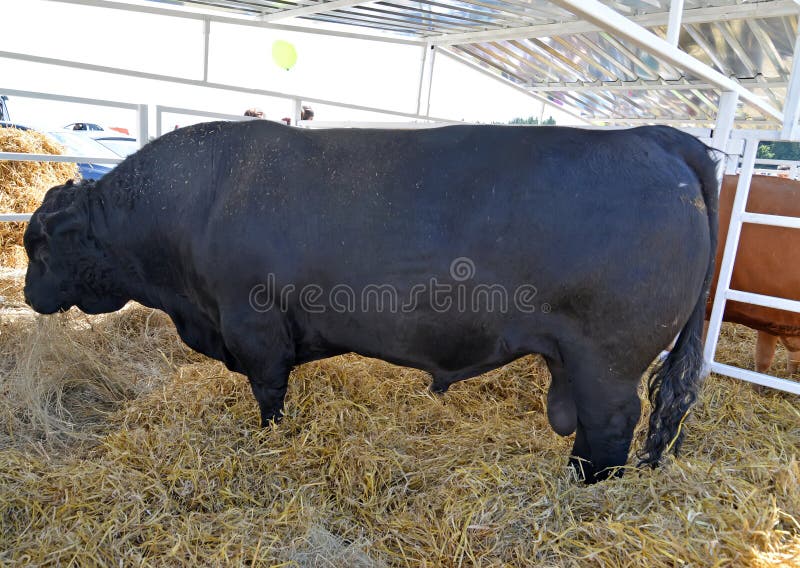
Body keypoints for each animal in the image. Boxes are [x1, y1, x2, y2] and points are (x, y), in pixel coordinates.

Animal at [23, 122, 718, 483]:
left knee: (612, 427)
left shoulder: (254, 326)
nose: (27, 295)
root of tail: (654, 136)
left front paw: (271, 442)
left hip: (608, 360)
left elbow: (269, 397)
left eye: (39, 245)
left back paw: (582, 488)